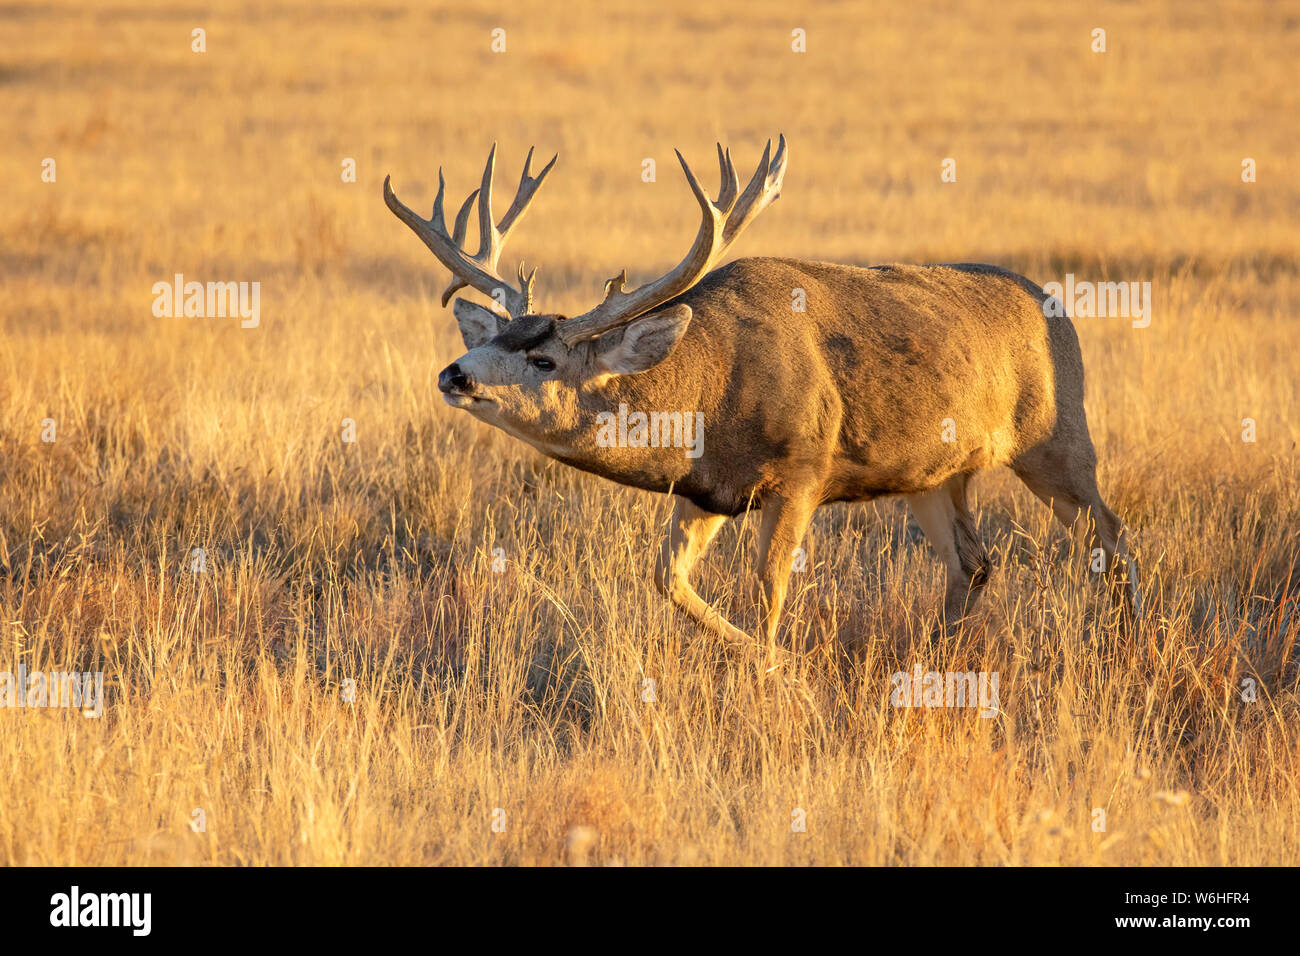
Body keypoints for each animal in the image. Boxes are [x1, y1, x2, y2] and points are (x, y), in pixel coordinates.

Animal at [383, 136, 1140, 656]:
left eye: (543, 358)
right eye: (499, 337)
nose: (455, 374)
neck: (710, 389)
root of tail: (1054, 305)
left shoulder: (803, 470)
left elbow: (768, 587)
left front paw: (777, 672)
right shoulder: (705, 492)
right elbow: (668, 581)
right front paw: (761, 660)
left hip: (1056, 438)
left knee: (1112, 535)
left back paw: (1126, 642)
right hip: (932, 474)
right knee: (973, 563)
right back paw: (933, 658)